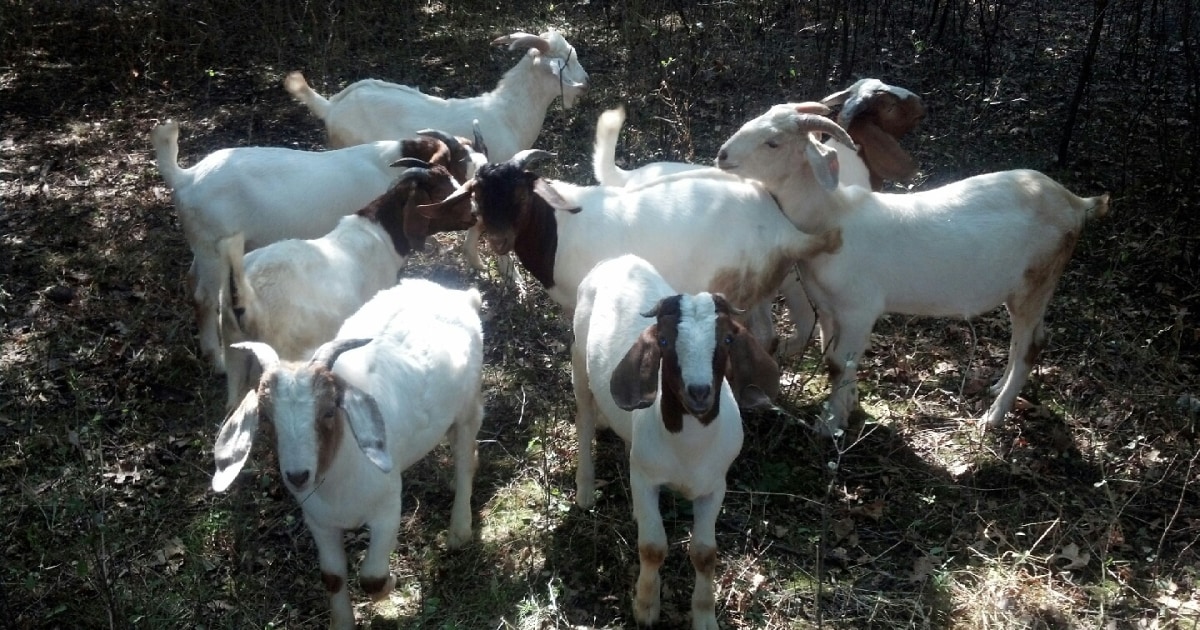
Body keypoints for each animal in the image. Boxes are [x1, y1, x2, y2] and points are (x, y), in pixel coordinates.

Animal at [150, 120, 477, 372]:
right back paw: (216, 359)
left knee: (192, 282)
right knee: (204, 297)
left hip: (202, 245)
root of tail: (185, 178)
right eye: (448, 185)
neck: (386, 168)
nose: (475, 212)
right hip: (212, 249)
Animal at [212, 278, 484, 630]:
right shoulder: (319, 522)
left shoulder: (387, 511)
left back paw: (459, 529)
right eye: (267, 418)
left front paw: (392, 584)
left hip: (468, 406)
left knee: (466, 457)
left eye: (329, 411)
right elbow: (332, 577)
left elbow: (371, 578)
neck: (337, 478)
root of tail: (460, 295)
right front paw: (342, 622)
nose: (298, 475)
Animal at [571, 254, 778, 629]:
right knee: (585, 418)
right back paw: (585, 490)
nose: (699, 392)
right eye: (664, 342)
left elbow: (705, 554)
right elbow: (653, 547)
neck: (689, 448)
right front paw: (645, 607)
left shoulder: (715, 486)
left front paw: (705, 617)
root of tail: (619, 258)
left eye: (727, 339)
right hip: (579, 355)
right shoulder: (647, 479)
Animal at [715, 103, 1111, 431]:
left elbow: (840, 363)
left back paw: (993, 417)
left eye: (773, 142)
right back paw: (998, 386)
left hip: (1038, 280)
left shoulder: (860, 309)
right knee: (1023, 340)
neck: (834, 216)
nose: (722, 155)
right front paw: (848, 405)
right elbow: (832, 359)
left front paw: (830, 424)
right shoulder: (828, 307)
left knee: (1032, 345)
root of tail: (1076, 203)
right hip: (1023, 291)